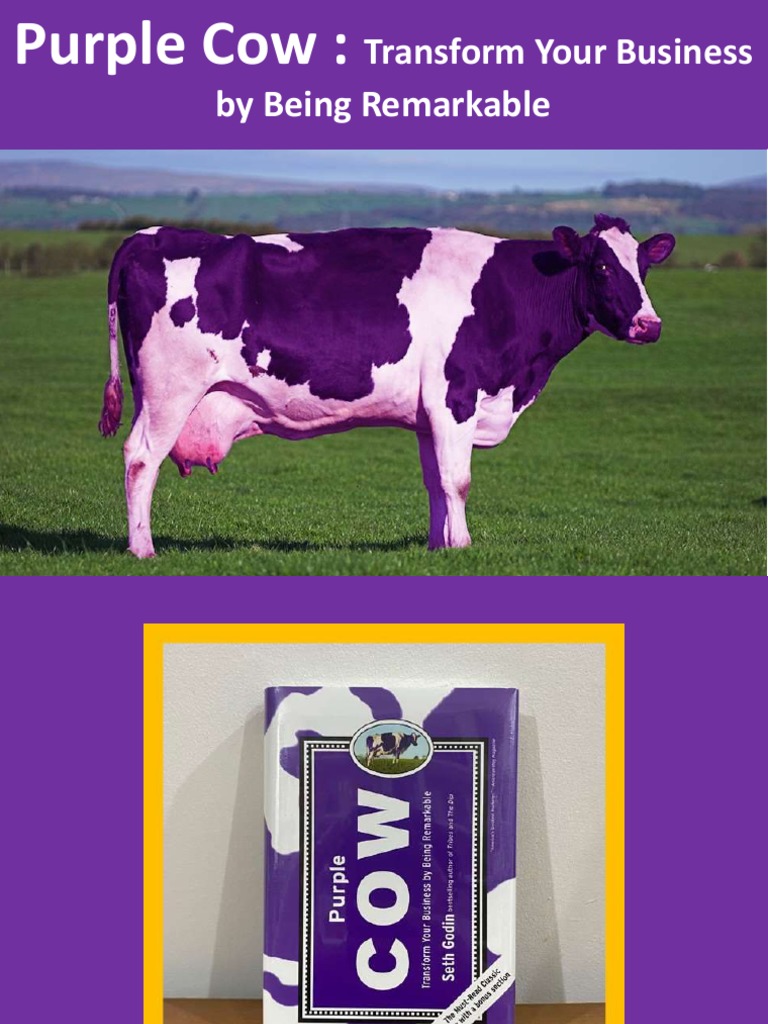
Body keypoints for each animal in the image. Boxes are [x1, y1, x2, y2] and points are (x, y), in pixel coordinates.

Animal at [98, 215, 675, 557]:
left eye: (644, 268)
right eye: (601, 267)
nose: (650, 325)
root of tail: (149, 234)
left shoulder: (429, 413)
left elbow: (436, 482)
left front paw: (440, 548)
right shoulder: (456, 396)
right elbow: (459, 480)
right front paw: (464, 546)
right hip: (170, 390)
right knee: (140, 458)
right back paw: (142, 549)